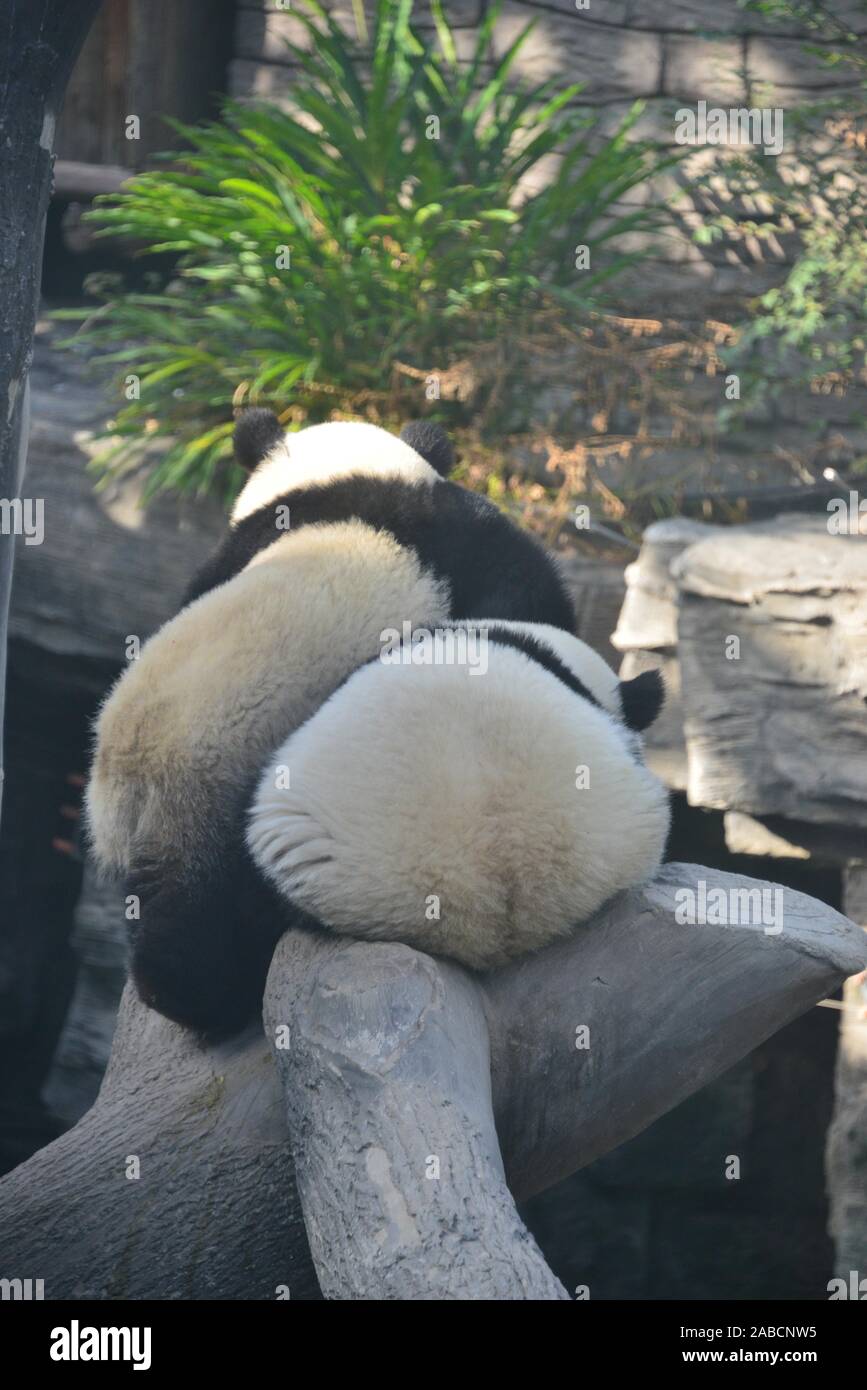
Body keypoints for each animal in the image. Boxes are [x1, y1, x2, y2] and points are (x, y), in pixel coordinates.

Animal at [86, 411, 583, 1032]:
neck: (340, 474)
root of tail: (130, 775)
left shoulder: (234, 553)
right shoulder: (456, 536)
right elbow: (522, 590)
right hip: (223, 802)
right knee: (208, 922)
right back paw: (212, 998)